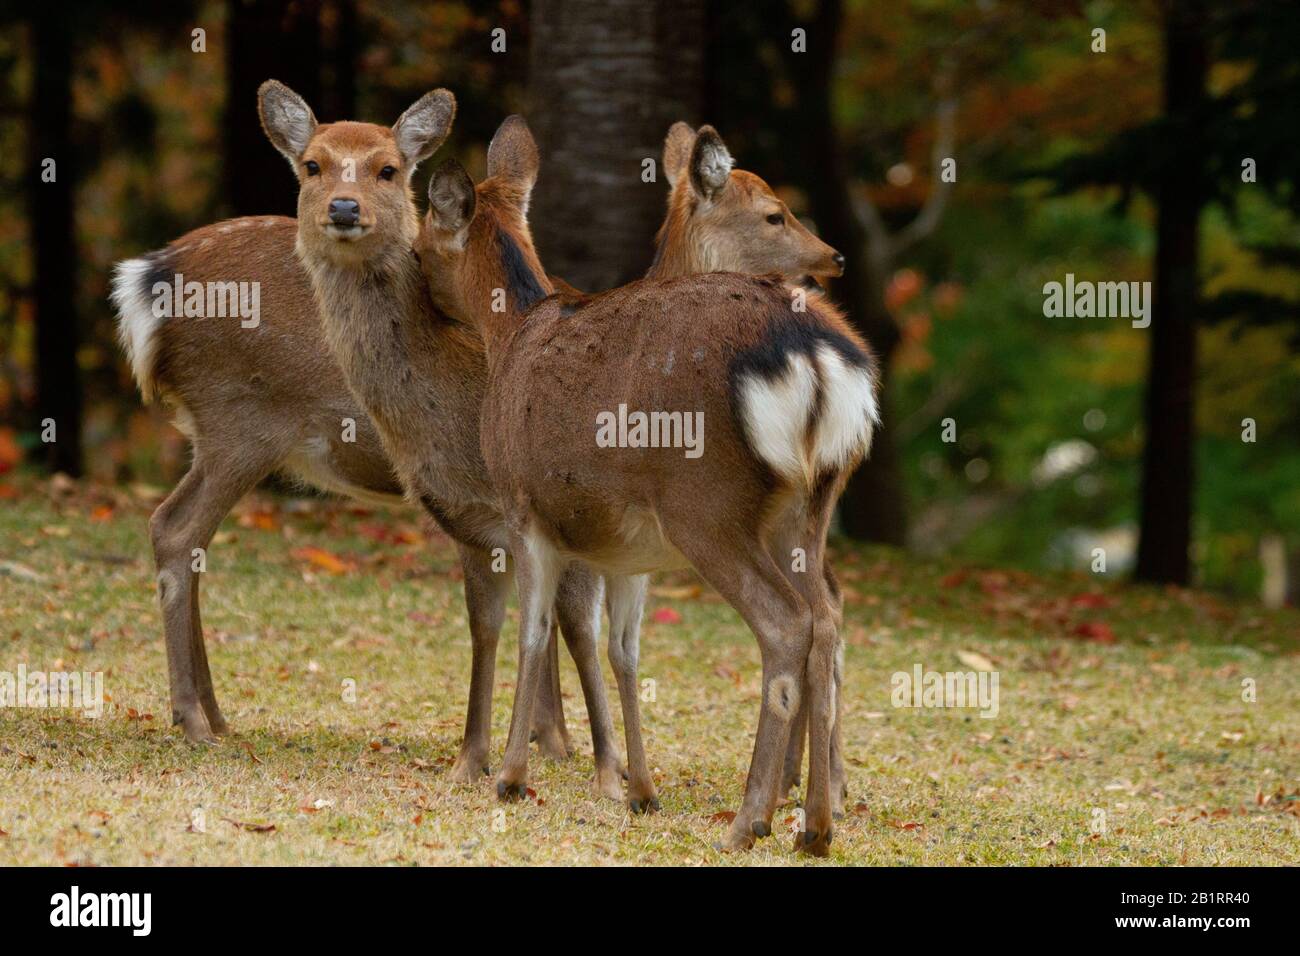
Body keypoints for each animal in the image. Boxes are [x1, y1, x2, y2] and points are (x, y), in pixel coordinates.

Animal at [418, 115, 878, 856]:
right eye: (773, 213)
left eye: (424, 232)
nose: (410, 272)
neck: (510, 333)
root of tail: (816, 354)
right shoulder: (628, 550)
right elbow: (624, 650)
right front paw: (639, 790)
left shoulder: (523, 507)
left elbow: (534, 630)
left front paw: (511, 778)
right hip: (807, 507)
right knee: (828, 617)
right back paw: (815, 820)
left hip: (706, 502)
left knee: (787, 622)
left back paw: (751, 820)